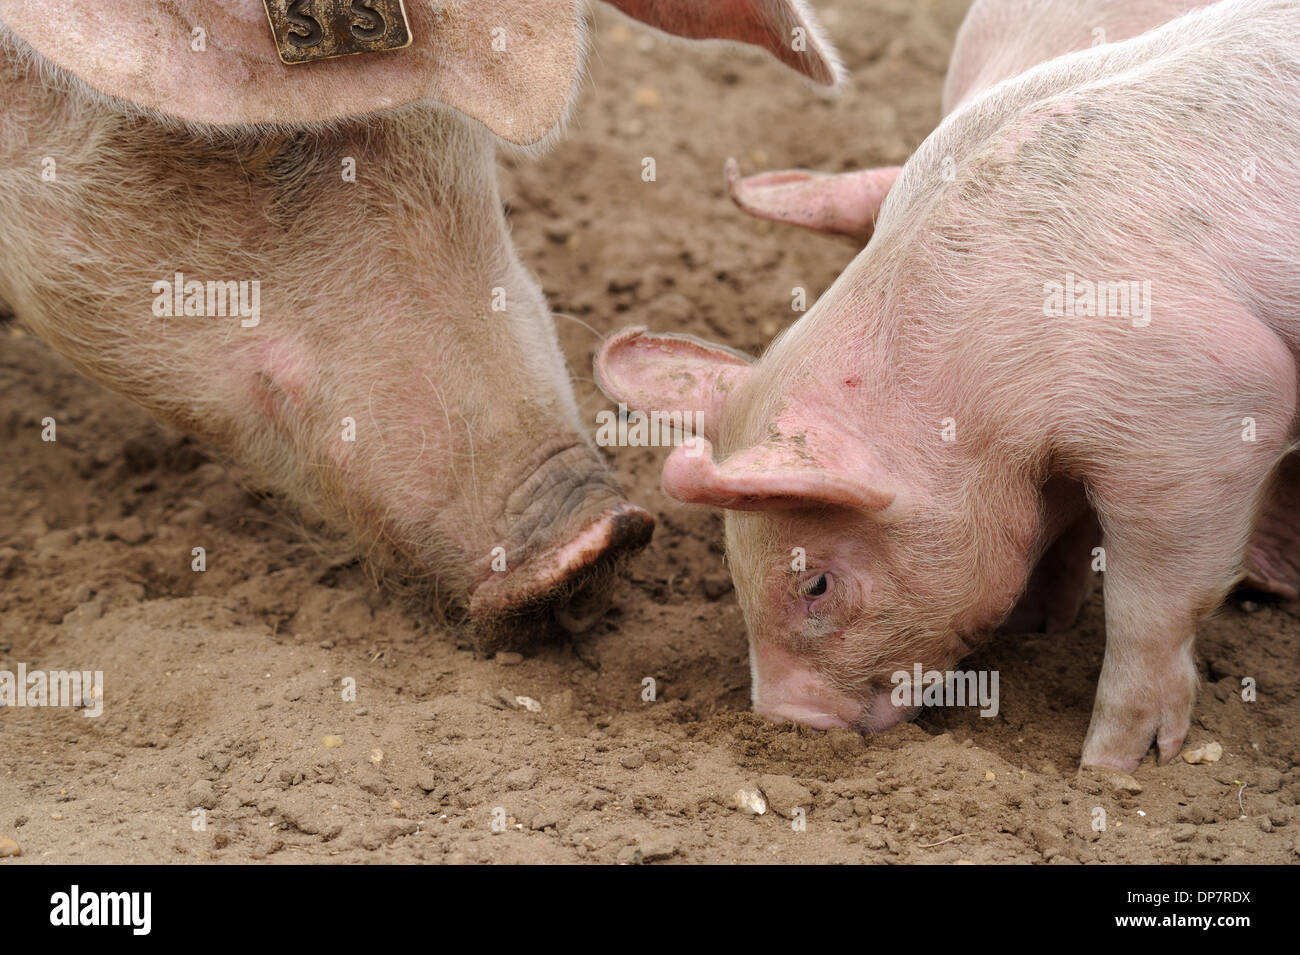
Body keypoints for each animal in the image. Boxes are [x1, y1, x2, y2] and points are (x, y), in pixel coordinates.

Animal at [596, 0, 1300, 768]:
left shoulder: (1202, 408)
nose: (787, 722)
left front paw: (1110, 765)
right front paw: (1039, 627)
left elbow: (1151, 608)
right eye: (732, 567)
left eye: (816, 582)